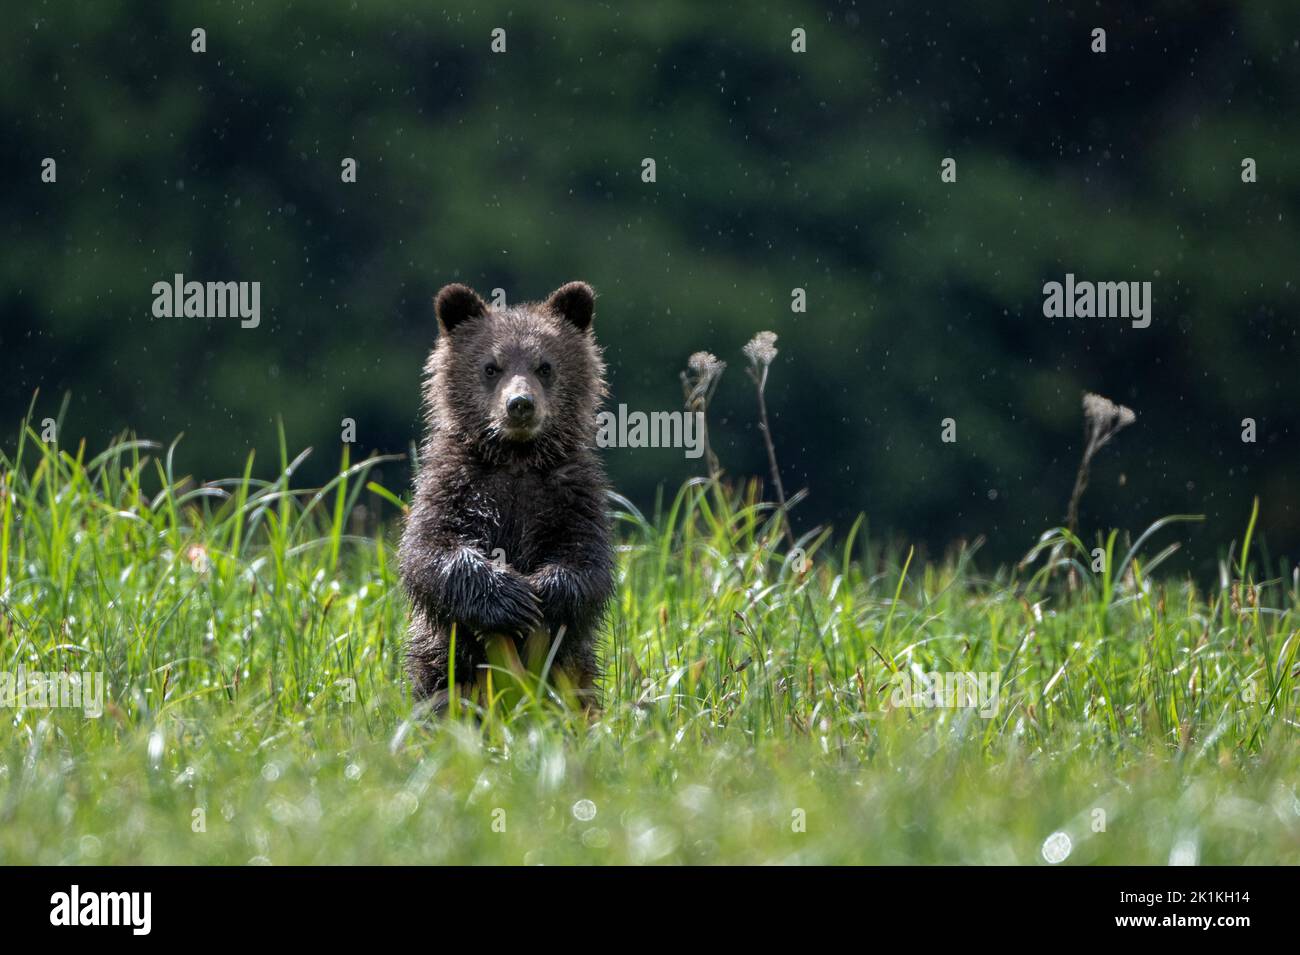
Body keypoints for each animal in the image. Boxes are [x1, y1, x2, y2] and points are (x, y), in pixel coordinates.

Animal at [398, 281, 615, 710]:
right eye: (491, 366)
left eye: (544, 365)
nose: (520, 405)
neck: (517, 458)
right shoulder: (453, 484)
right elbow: (430, 549)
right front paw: (510, 598)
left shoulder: (571, 491)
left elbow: (587, 559)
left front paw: (545, 595)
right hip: (443, 662)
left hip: (572, 672)